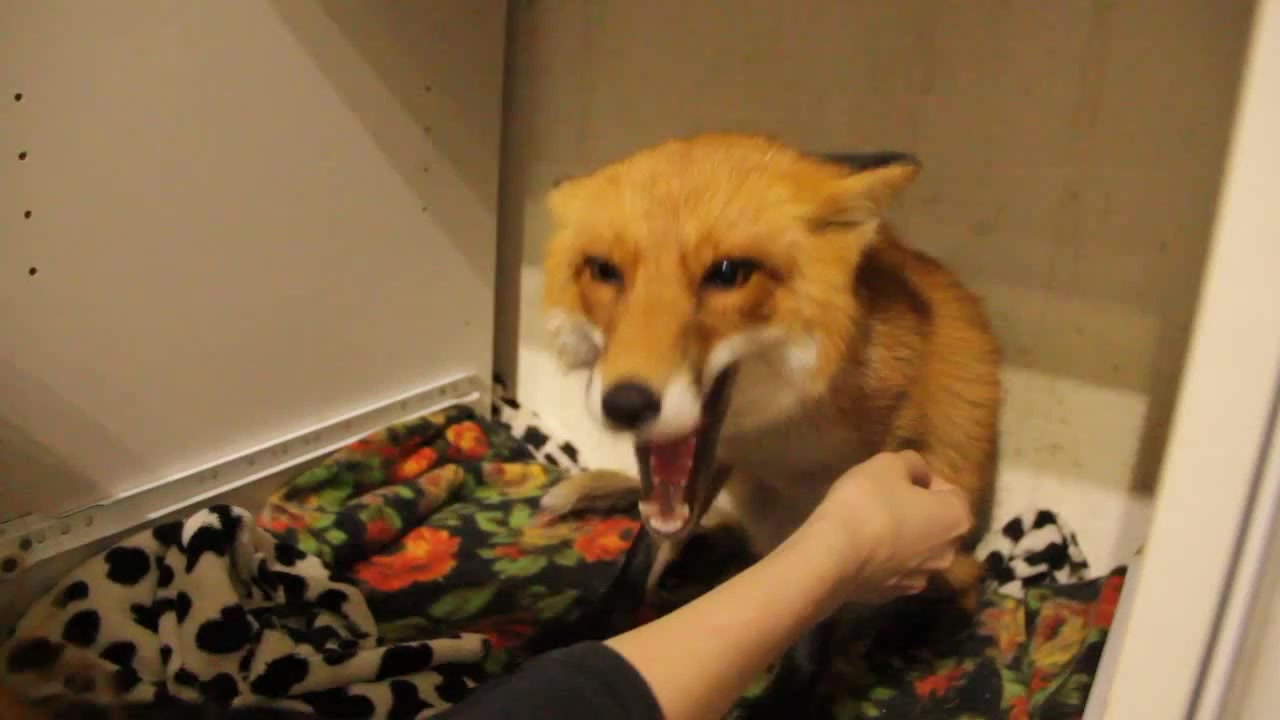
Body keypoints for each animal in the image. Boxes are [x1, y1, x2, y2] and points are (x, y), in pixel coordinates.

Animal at [537, 132, 1001, 609]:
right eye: (603, 269)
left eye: (727, 272)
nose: (626, 405)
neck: (779, 440)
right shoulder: (714, 465)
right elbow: (641, 561)